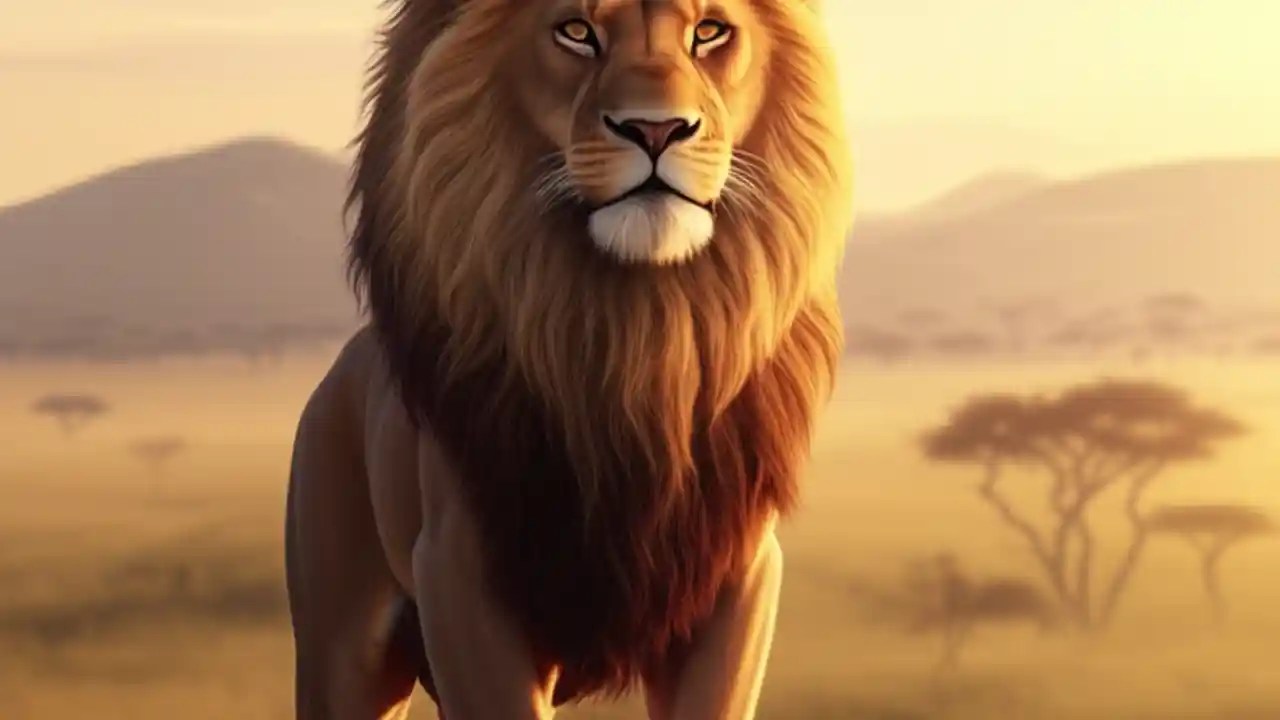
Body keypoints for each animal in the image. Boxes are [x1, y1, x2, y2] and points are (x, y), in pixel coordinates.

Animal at [285, 0, 853, 717]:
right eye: (577, 32)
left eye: (709, 32)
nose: (656, 128)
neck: (636, 340)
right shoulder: (459, 570)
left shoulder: (738, 575)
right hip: (342, 647)